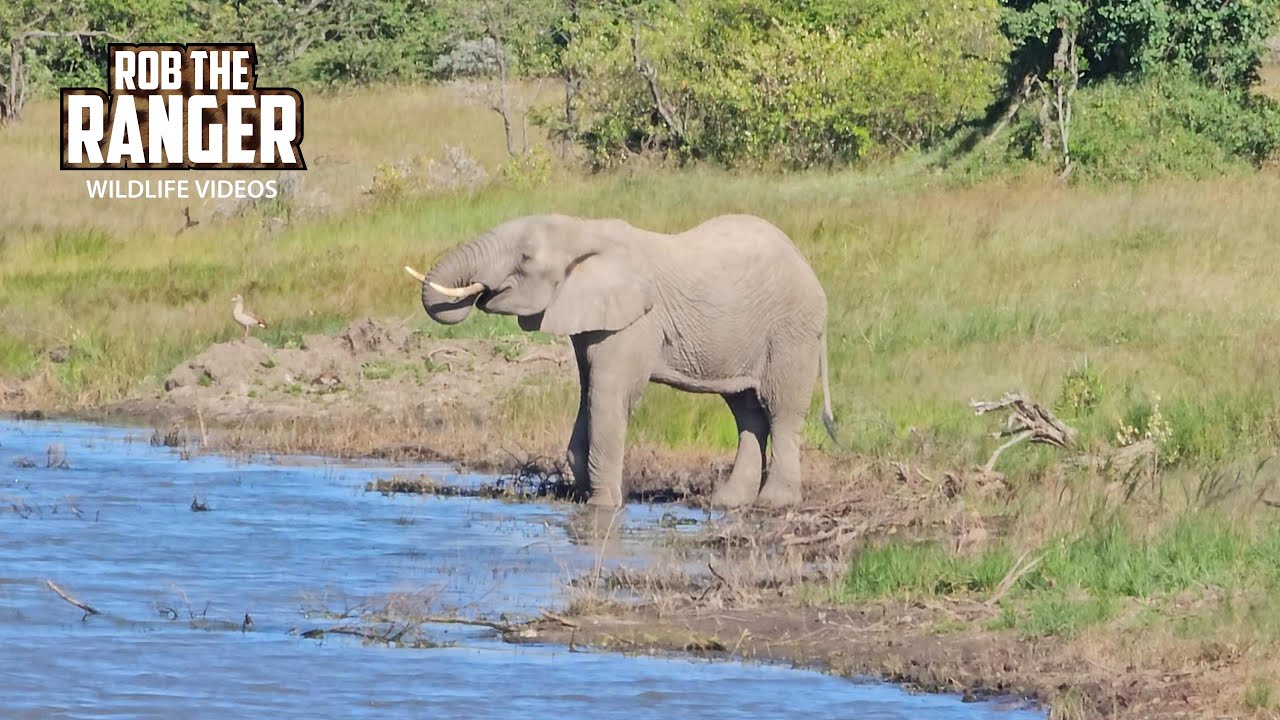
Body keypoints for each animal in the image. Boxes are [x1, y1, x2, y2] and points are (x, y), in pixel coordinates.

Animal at [405, 213, 839, 509]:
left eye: (525, 257)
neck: (585, 230)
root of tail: (811, 272)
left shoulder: (637, 322)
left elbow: (608, 396)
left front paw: (602, 505)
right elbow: (588, 394)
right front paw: (584, 488)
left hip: (791, 329)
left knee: (780, 410)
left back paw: (774, 503)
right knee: (747, 411)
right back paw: (727, 503)